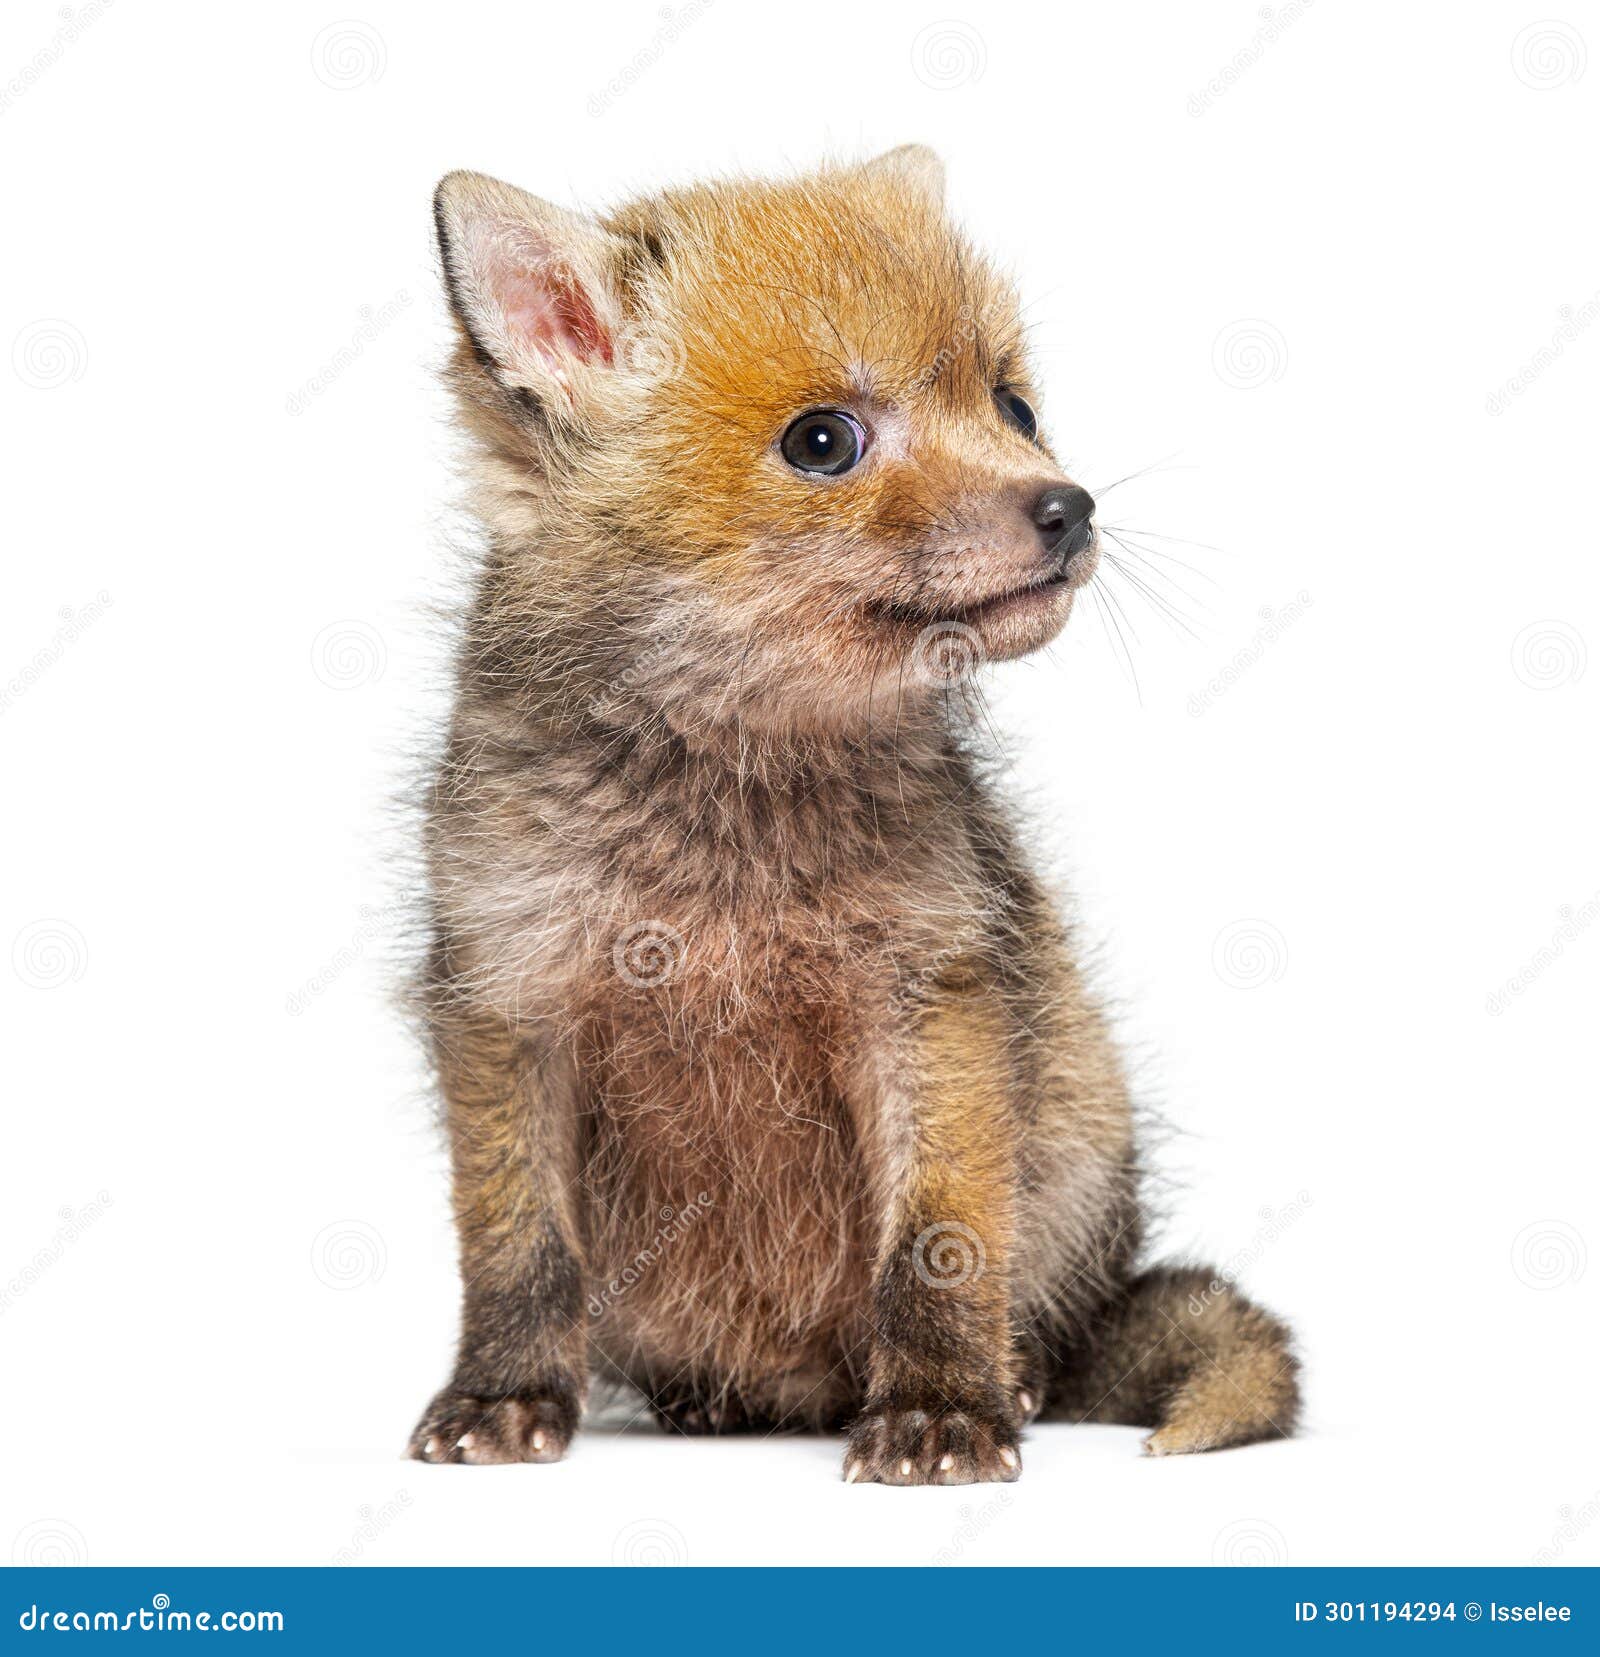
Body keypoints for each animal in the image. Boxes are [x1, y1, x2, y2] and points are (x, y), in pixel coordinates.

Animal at [406, 146, 1299, 1484]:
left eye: (1012, 406)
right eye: (823, 440)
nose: (1070, 508)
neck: (722, 814)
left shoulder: (927, 997)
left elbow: (938, 1241)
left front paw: (941, 1408)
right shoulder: (506, 1005)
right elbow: (518, 1249)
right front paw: (504, 1395)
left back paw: (1009, 1379)